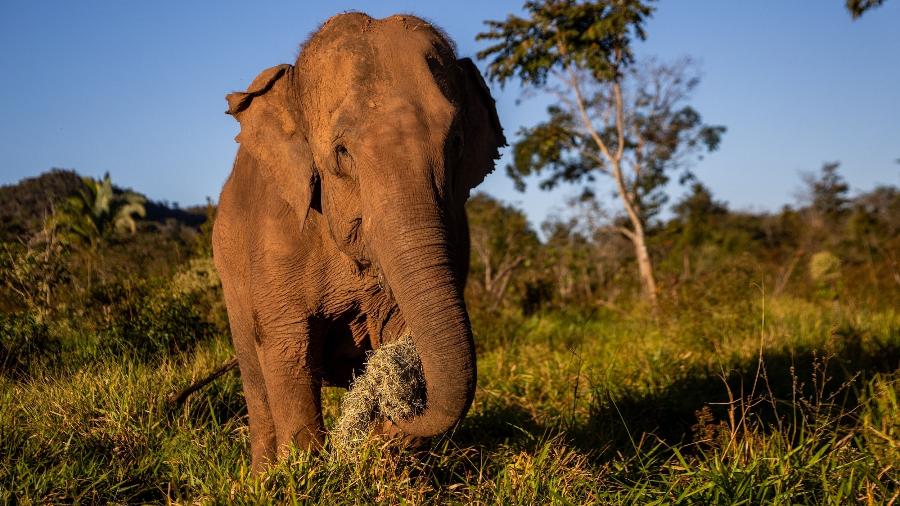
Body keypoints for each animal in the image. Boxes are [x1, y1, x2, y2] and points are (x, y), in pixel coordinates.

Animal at [212, 12, 505, 470]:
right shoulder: (276, 234)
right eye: (342, 153)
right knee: (255, 378)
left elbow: (398, 329)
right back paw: (260, 476)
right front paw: (303, 472)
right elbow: (287, 346)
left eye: (456, 142)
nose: (397, 416)